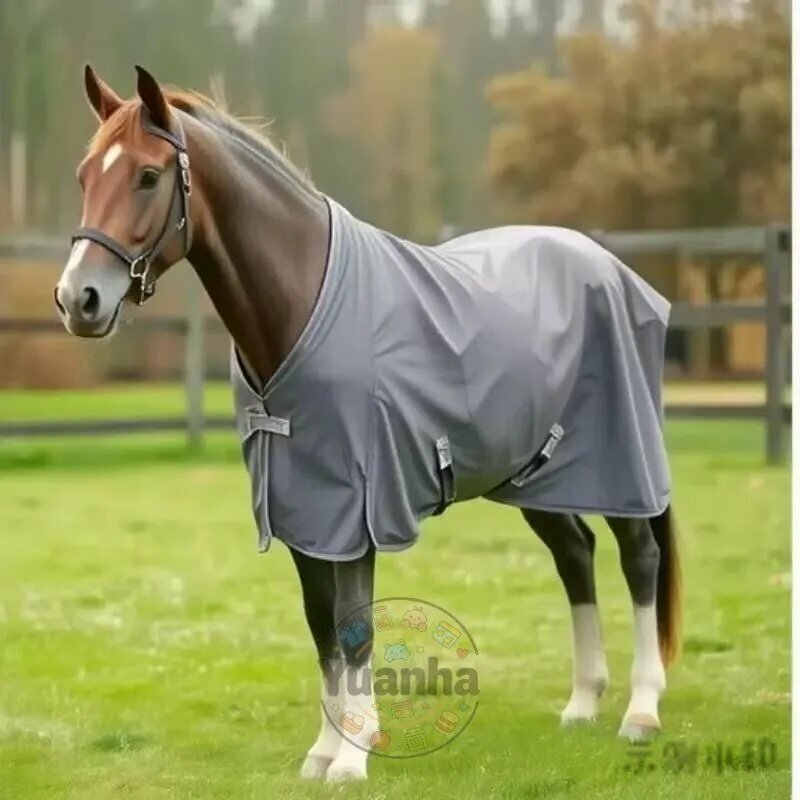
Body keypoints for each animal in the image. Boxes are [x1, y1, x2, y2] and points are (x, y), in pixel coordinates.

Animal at [55, 65, 681, 782]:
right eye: (84, 176)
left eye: (148, 176)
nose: (78, 300)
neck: (299, 303)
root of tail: (612, 269)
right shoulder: (305, 514)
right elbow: (323, 626)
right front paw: (325, 751)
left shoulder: (358, 512)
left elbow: (356, 628)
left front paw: (353, 759)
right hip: (534, 474)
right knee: (575, 554)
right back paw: (581, 704)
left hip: (619, 462)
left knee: (640, 558)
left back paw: (640, 711)